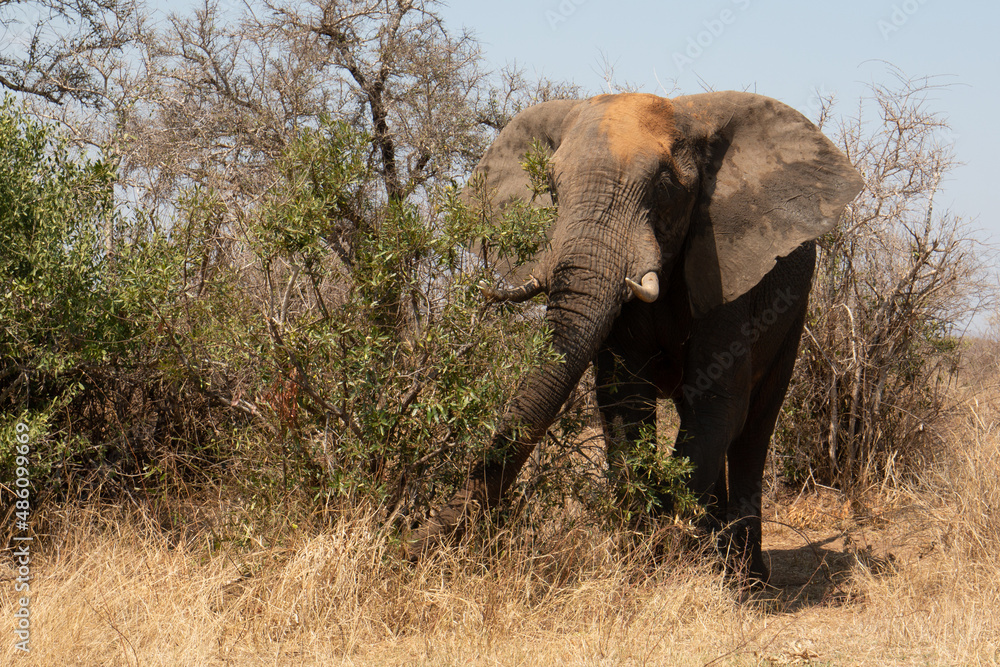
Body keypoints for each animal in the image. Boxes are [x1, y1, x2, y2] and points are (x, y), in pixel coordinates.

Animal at [406, 91, 862, 583]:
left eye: (664, 185)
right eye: (551, 186)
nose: (407, 544)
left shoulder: (729, 266)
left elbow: (716, 402)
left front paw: (670, 559)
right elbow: (624, 400)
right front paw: (645, 563)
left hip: (793, 306)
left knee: (753, 427)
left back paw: (748, 578)